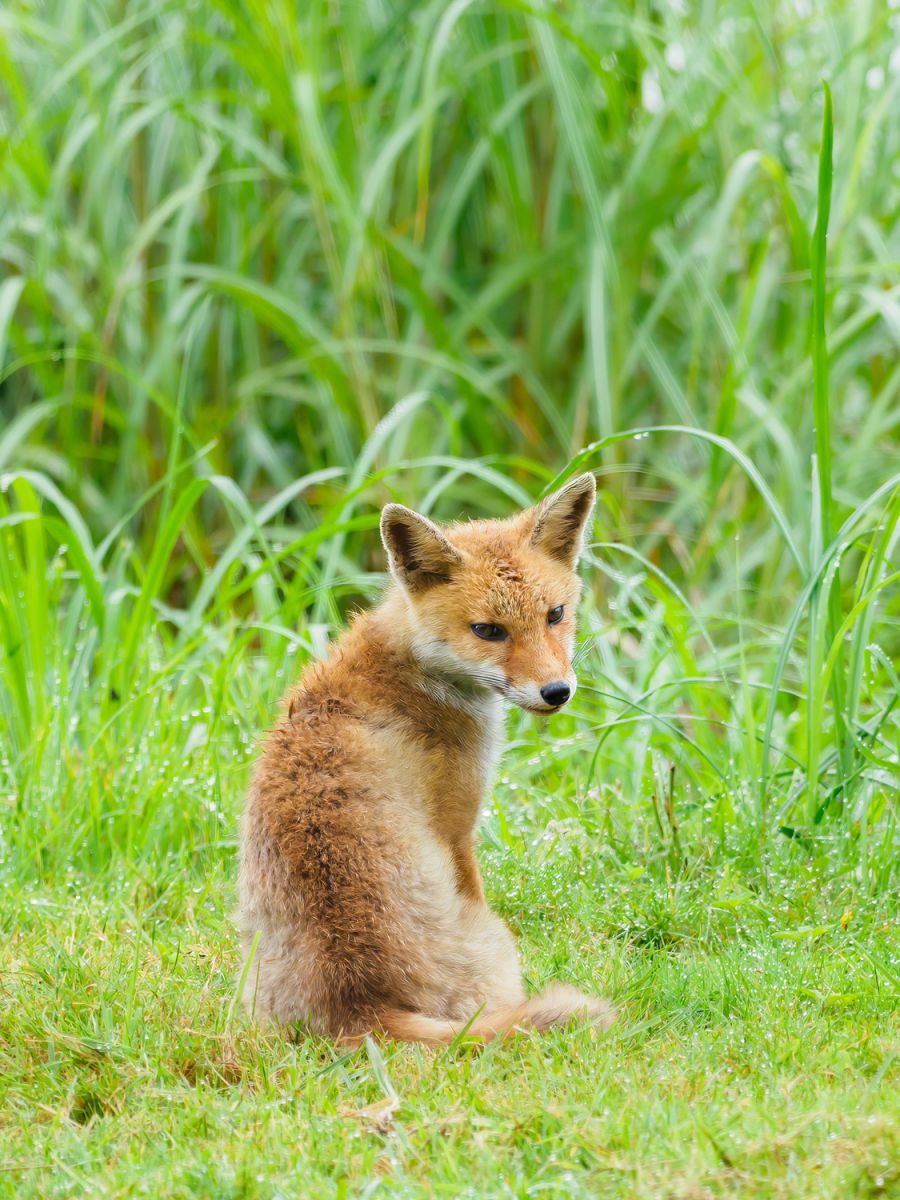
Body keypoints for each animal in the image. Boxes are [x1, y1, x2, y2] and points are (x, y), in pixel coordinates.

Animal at [236, 472, 615, 1044]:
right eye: (488, 630)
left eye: (555, 615)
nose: (557, 692)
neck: (411, 669)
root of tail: (362, 1001)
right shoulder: (458, 828)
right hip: (496, 937)